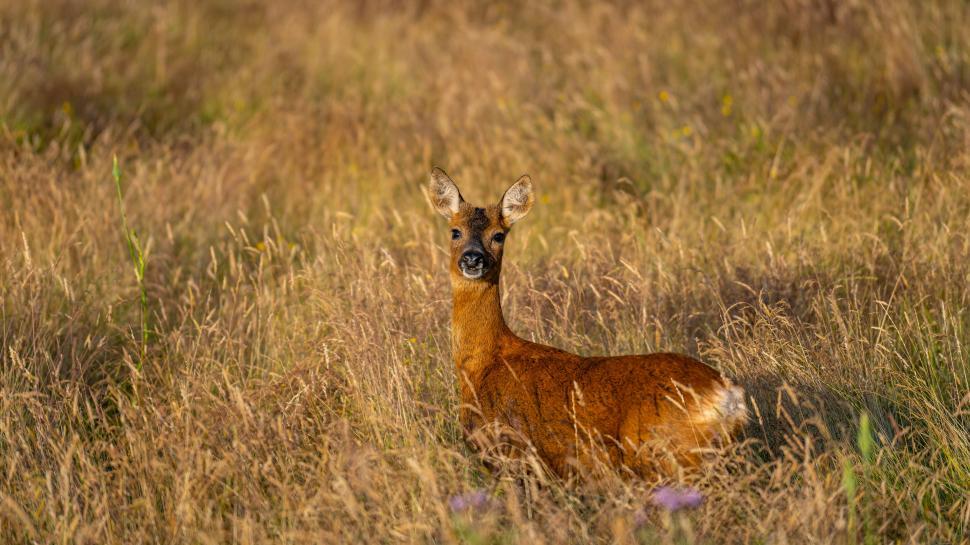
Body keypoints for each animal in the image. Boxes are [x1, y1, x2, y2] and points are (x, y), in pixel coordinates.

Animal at [426, 167, 747, 478]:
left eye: (499, 235)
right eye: (455, 231)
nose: (473, 259)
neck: (484, 362)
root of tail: (728, 396)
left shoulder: (513, 453)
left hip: (667, 455)